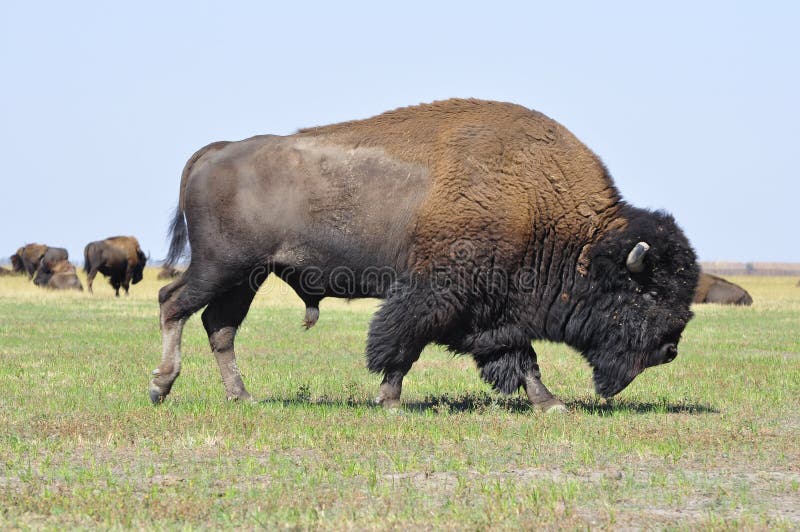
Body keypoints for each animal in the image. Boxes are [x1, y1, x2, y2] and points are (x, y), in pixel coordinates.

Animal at [150, 99, 699, 411]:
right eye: (647, 294)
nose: (670, 349)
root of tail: (216, 151)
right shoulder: (435, 294)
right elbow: (401, 345)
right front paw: (390, 402)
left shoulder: (493, 310)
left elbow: (520, 358)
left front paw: (550, 404)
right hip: (222, 266)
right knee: (173, 303)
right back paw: (161, 387)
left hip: (248, 276)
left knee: (219, 326)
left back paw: (244, 398)